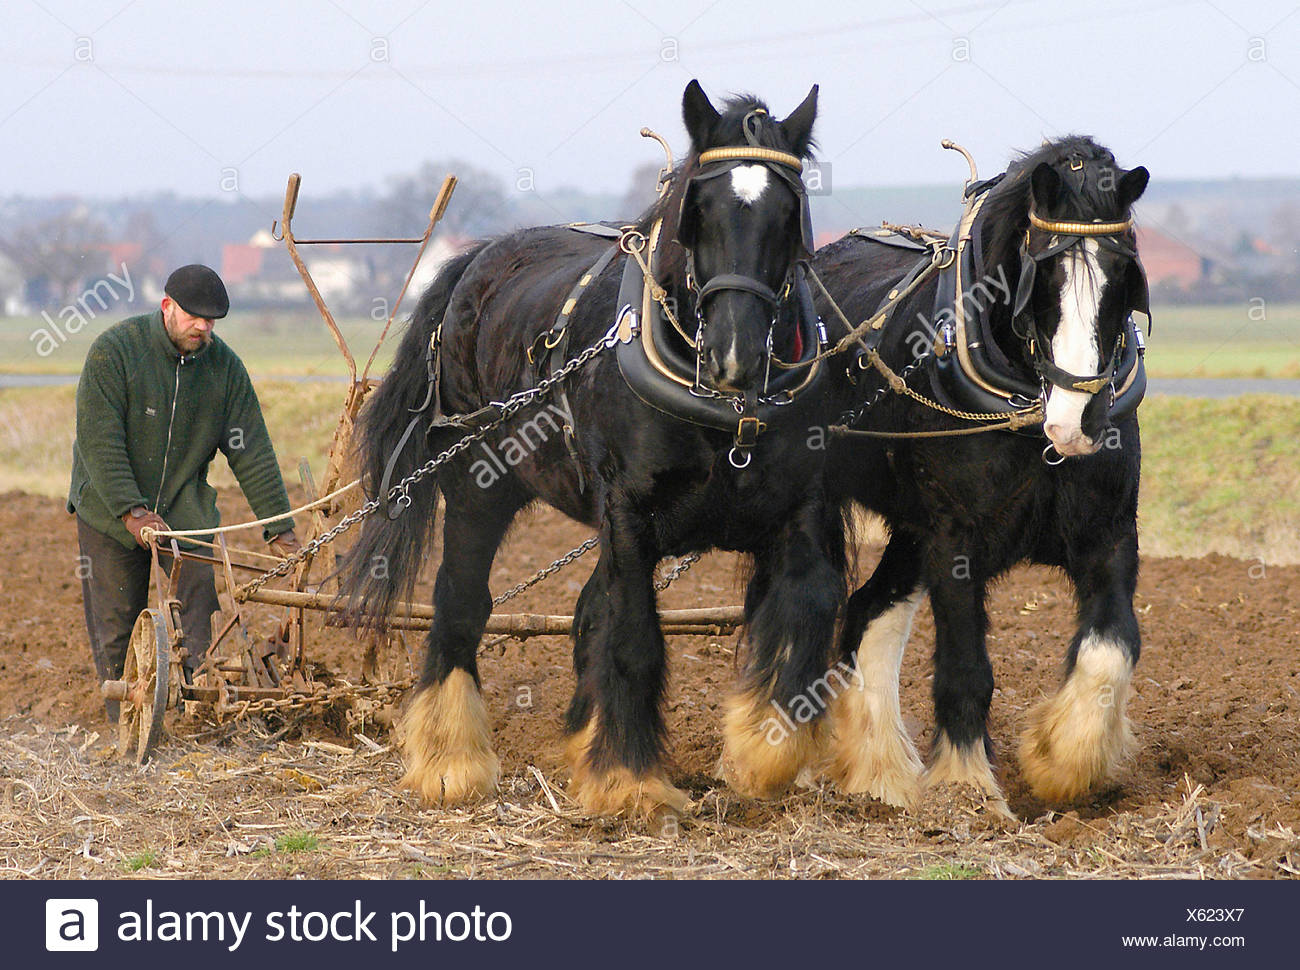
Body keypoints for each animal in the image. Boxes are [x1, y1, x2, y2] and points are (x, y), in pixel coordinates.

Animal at [337, 80, 848, 819]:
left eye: (789, 210)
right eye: (699, 207)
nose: (737, 355)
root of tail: (477, 262)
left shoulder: (798, 510)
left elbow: (809, 605)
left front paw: (761, 753)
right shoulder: (629, 517)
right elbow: (633, 638)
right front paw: (631, 780)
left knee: (583, 612)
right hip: (477, 484)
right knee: (461, 604)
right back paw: (449, 760)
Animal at [810, 135, 1150, 811]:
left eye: (1123, 275)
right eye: (1042, 273)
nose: (1079, 421)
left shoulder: (1108, 535)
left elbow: (1112, 647)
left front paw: (1060, 760)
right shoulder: (955, 541)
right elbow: (967, 668)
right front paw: (968, 790)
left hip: (912, 530)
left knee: (868, 614)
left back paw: (881, 774)